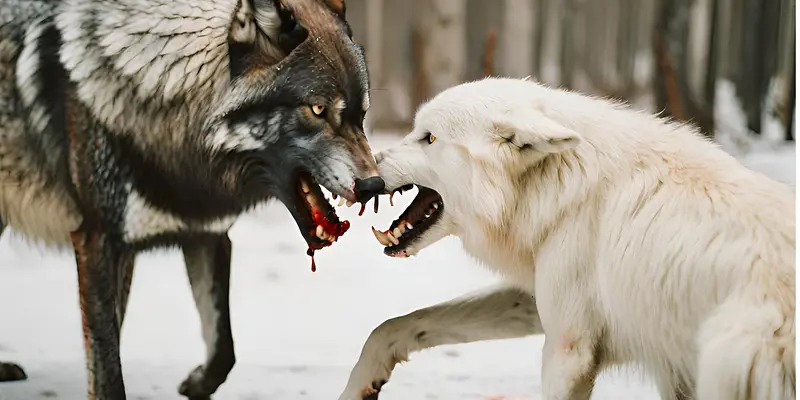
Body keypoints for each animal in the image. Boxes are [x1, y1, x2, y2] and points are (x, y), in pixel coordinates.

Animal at [0, 0, 385, 398]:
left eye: (362, 114)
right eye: (318, 110)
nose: (374, 184)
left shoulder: (207, 233)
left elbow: (223, 349)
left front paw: (197, 384)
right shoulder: (96, 241)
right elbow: (107, 363)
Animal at [338, 77, 796, 400]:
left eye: (429, 138)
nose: (366, 177)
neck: (557, 184)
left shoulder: (568, 351)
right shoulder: (541, 303)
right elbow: (394, 325)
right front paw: (359, 385)